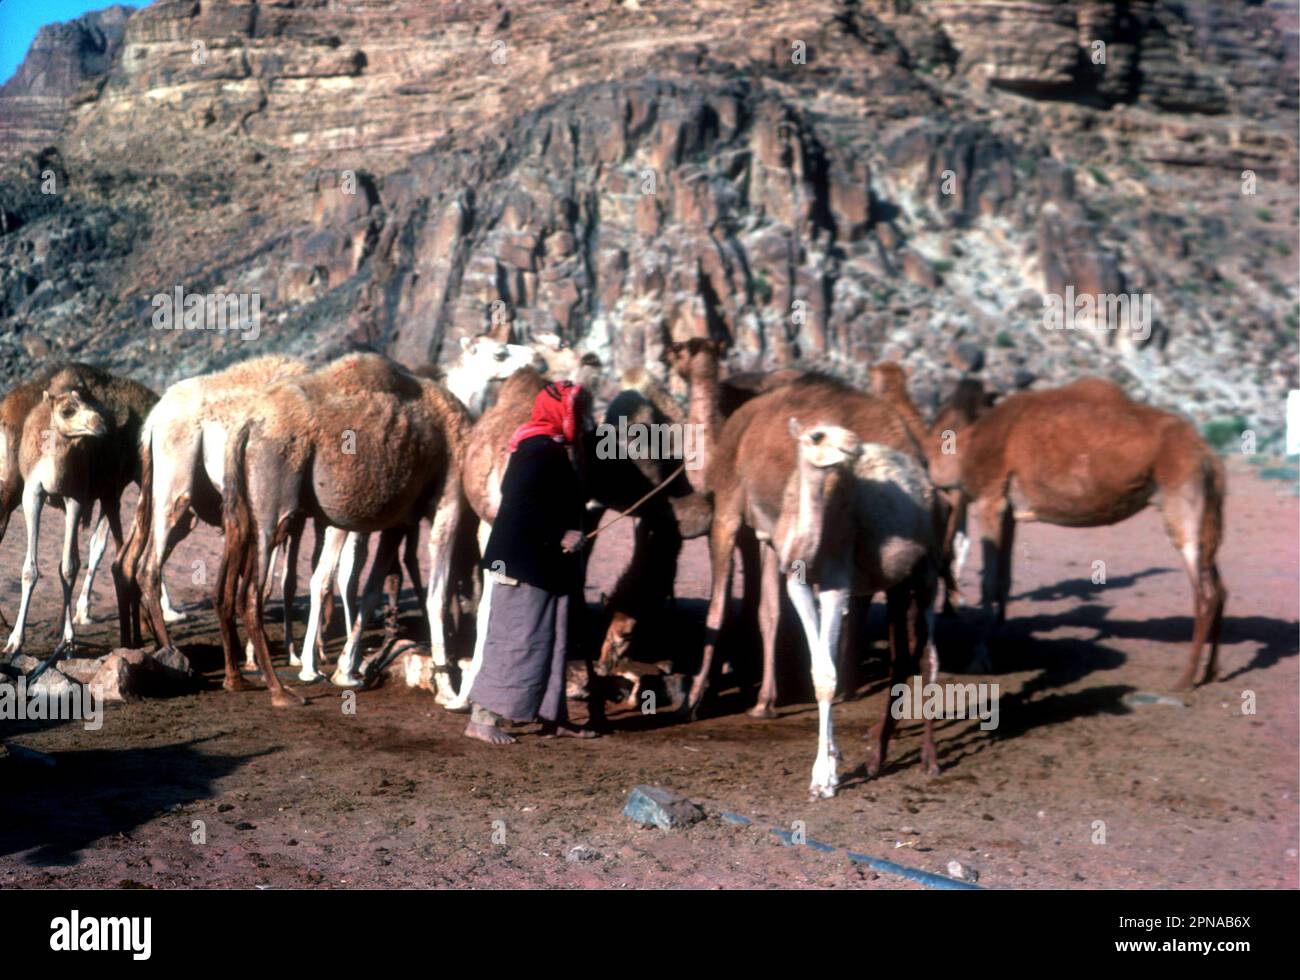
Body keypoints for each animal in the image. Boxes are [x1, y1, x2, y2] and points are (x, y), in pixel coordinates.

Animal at [3, 365, 156, 658]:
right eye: (66, 411)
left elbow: (69, 567)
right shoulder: (32, 495)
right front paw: (15, 641)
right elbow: (30, 570)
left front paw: (69, 639)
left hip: (124, 487)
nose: (101, 424)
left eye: (92, 403)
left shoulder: (75, 498)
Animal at [218, 353, 471, 706]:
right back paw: (280, 692)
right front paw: (448, 690)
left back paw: (235, 680)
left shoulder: (399, 519)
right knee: (253, 595)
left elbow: (371, 589)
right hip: (276, 499)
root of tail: (248, 423)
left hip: (239, 505)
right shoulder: (449, 499)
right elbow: (437, 596)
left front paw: (347, 671)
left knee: (230, 584)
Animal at [685, 373, 924, 719]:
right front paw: (765, 700)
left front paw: (695, 699)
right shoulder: (772, 537)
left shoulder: (727, 509)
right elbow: (769, 611)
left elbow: (717, 608)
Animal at [776, 421, 942, 798]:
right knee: (902, 656)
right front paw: (833, 761)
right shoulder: (796, 583)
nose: (855, 444)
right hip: (897, 581)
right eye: (817, 435)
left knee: (929, 656)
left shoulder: (838, 582)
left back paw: (930, 761)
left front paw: (824, 780)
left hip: (928, 568)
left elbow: (827, 674)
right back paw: (877, 757)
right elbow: (818, 670)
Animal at [927, 377, 1227, 690]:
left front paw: (979, 661)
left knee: (1205, 593)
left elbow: (987, 582)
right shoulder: (1008, 510)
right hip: (1207, 515)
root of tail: (1207, 455)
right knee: (1219, 588)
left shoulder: (990, 499)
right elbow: (1002, 579)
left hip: (1181, 504)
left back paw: (1186, 679)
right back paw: (1212, 671)